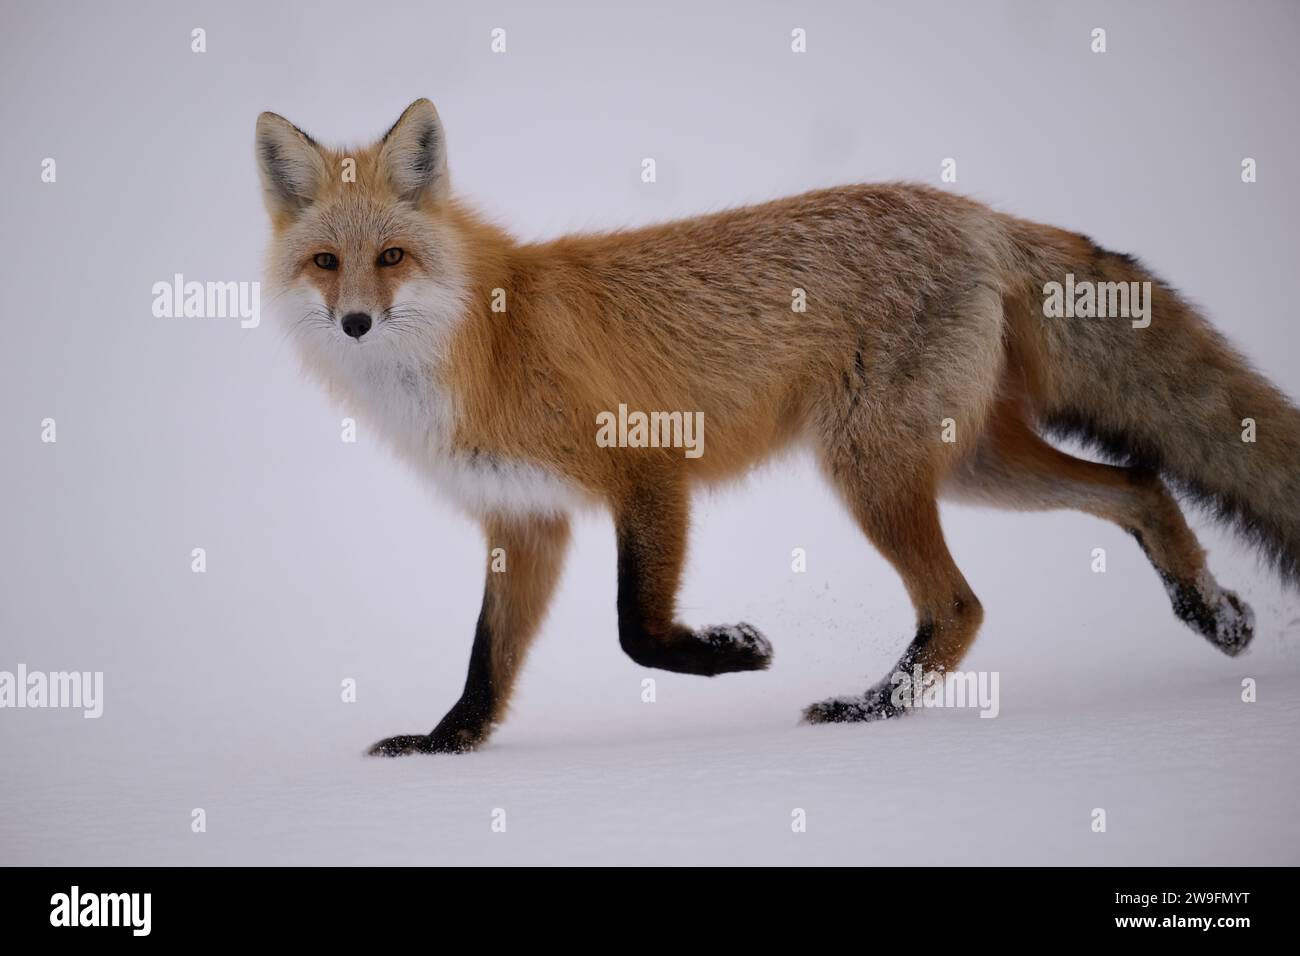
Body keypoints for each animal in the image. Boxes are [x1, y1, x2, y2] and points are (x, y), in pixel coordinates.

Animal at [255, 99, 1299, 755]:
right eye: (326, 263)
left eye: (392, 257)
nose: (356, 323)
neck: (480, 340)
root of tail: (973, 211)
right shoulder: (526, 519)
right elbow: (486, 662)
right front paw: (446, 746)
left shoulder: (648, 467)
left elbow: (637, 632)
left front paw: (733, 651)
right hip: (970, 465)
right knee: (1139, 486)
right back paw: (1214, 612)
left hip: (872, 470)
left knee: (961, 605)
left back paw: (867, 711)